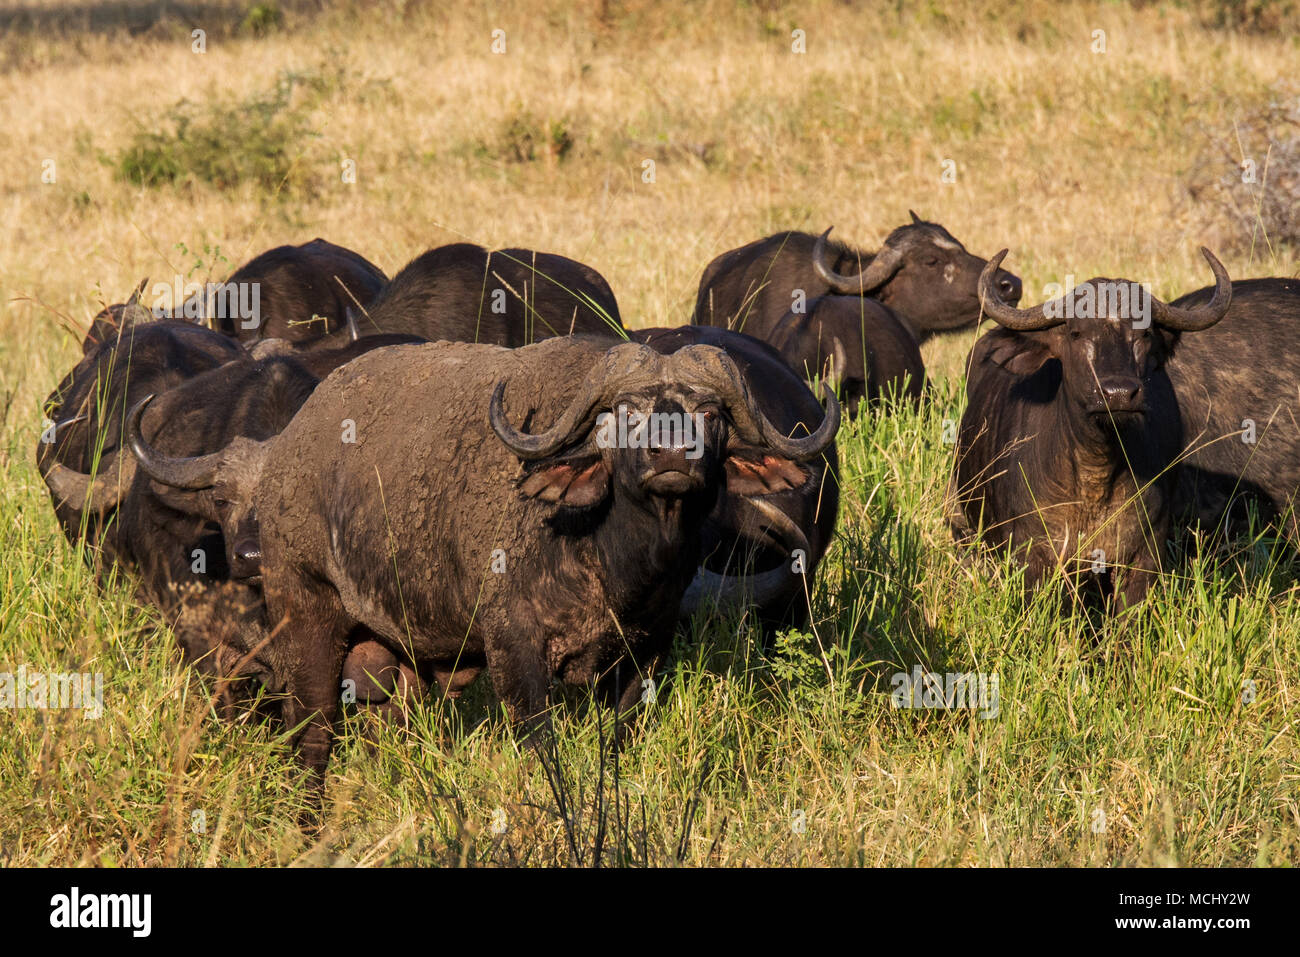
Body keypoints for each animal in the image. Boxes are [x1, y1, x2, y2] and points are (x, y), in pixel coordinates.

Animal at [252, 336, 838, 794]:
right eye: (626, 413)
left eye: (710, 413)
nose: (672, 456)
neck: (607, 564)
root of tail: (286, 451)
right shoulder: (515, 648)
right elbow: (541, 747)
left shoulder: (646, 651)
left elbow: (618, 738)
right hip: (305, 622)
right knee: (311, 736)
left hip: (401, 661)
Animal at [948, 249, 1232, 606]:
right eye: (1076, 333)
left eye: (1144, 333)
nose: (1118, 393)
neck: (1095, 478)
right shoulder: (1033, 557)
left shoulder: (1144, 557)